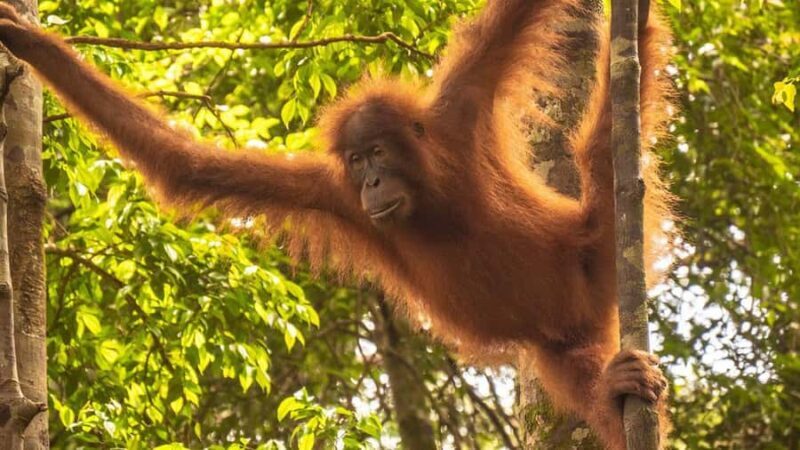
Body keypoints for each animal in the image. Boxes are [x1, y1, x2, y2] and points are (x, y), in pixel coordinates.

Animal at [0, 0, 675, 447]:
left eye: (377, 153)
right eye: (355, 161)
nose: (371, 181)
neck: (433, 197)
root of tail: (588, 305)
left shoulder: (465, 101)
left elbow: (517, 17)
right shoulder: (334, 195)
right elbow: (186, 166)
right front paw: (32, 46)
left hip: (594, 248)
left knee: (606, 153)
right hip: (555, 341)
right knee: (588, 379)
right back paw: (615, 389)